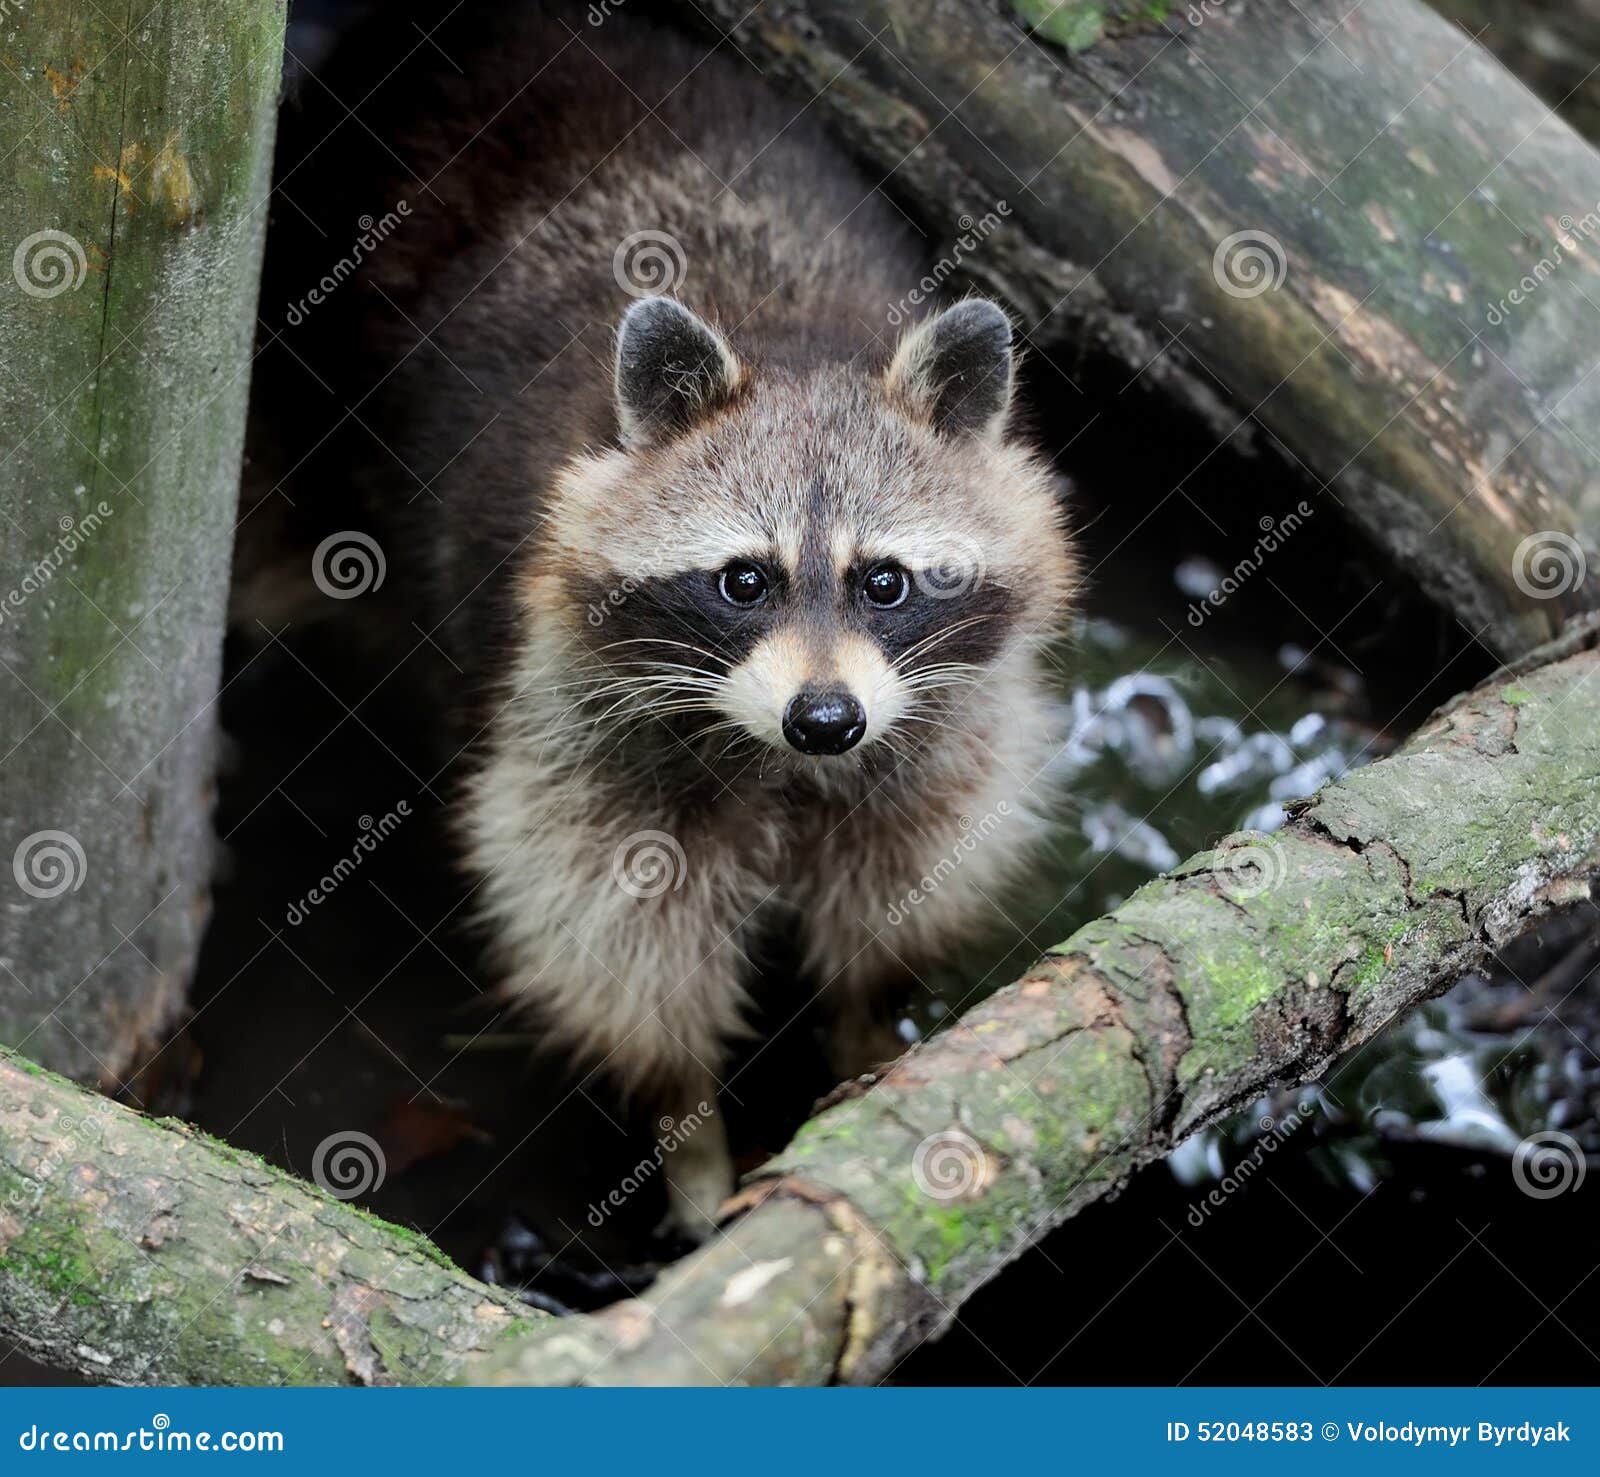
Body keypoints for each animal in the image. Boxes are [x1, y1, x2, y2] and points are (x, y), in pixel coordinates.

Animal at [266, 2, 1078, 1238]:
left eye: (885, 582)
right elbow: (611, 931)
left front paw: (867, 1036)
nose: (826, 720)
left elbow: (912, 872)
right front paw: (688, 1131)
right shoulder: (567, 716)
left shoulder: (941, 722)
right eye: (743, 582)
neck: (792, 343)